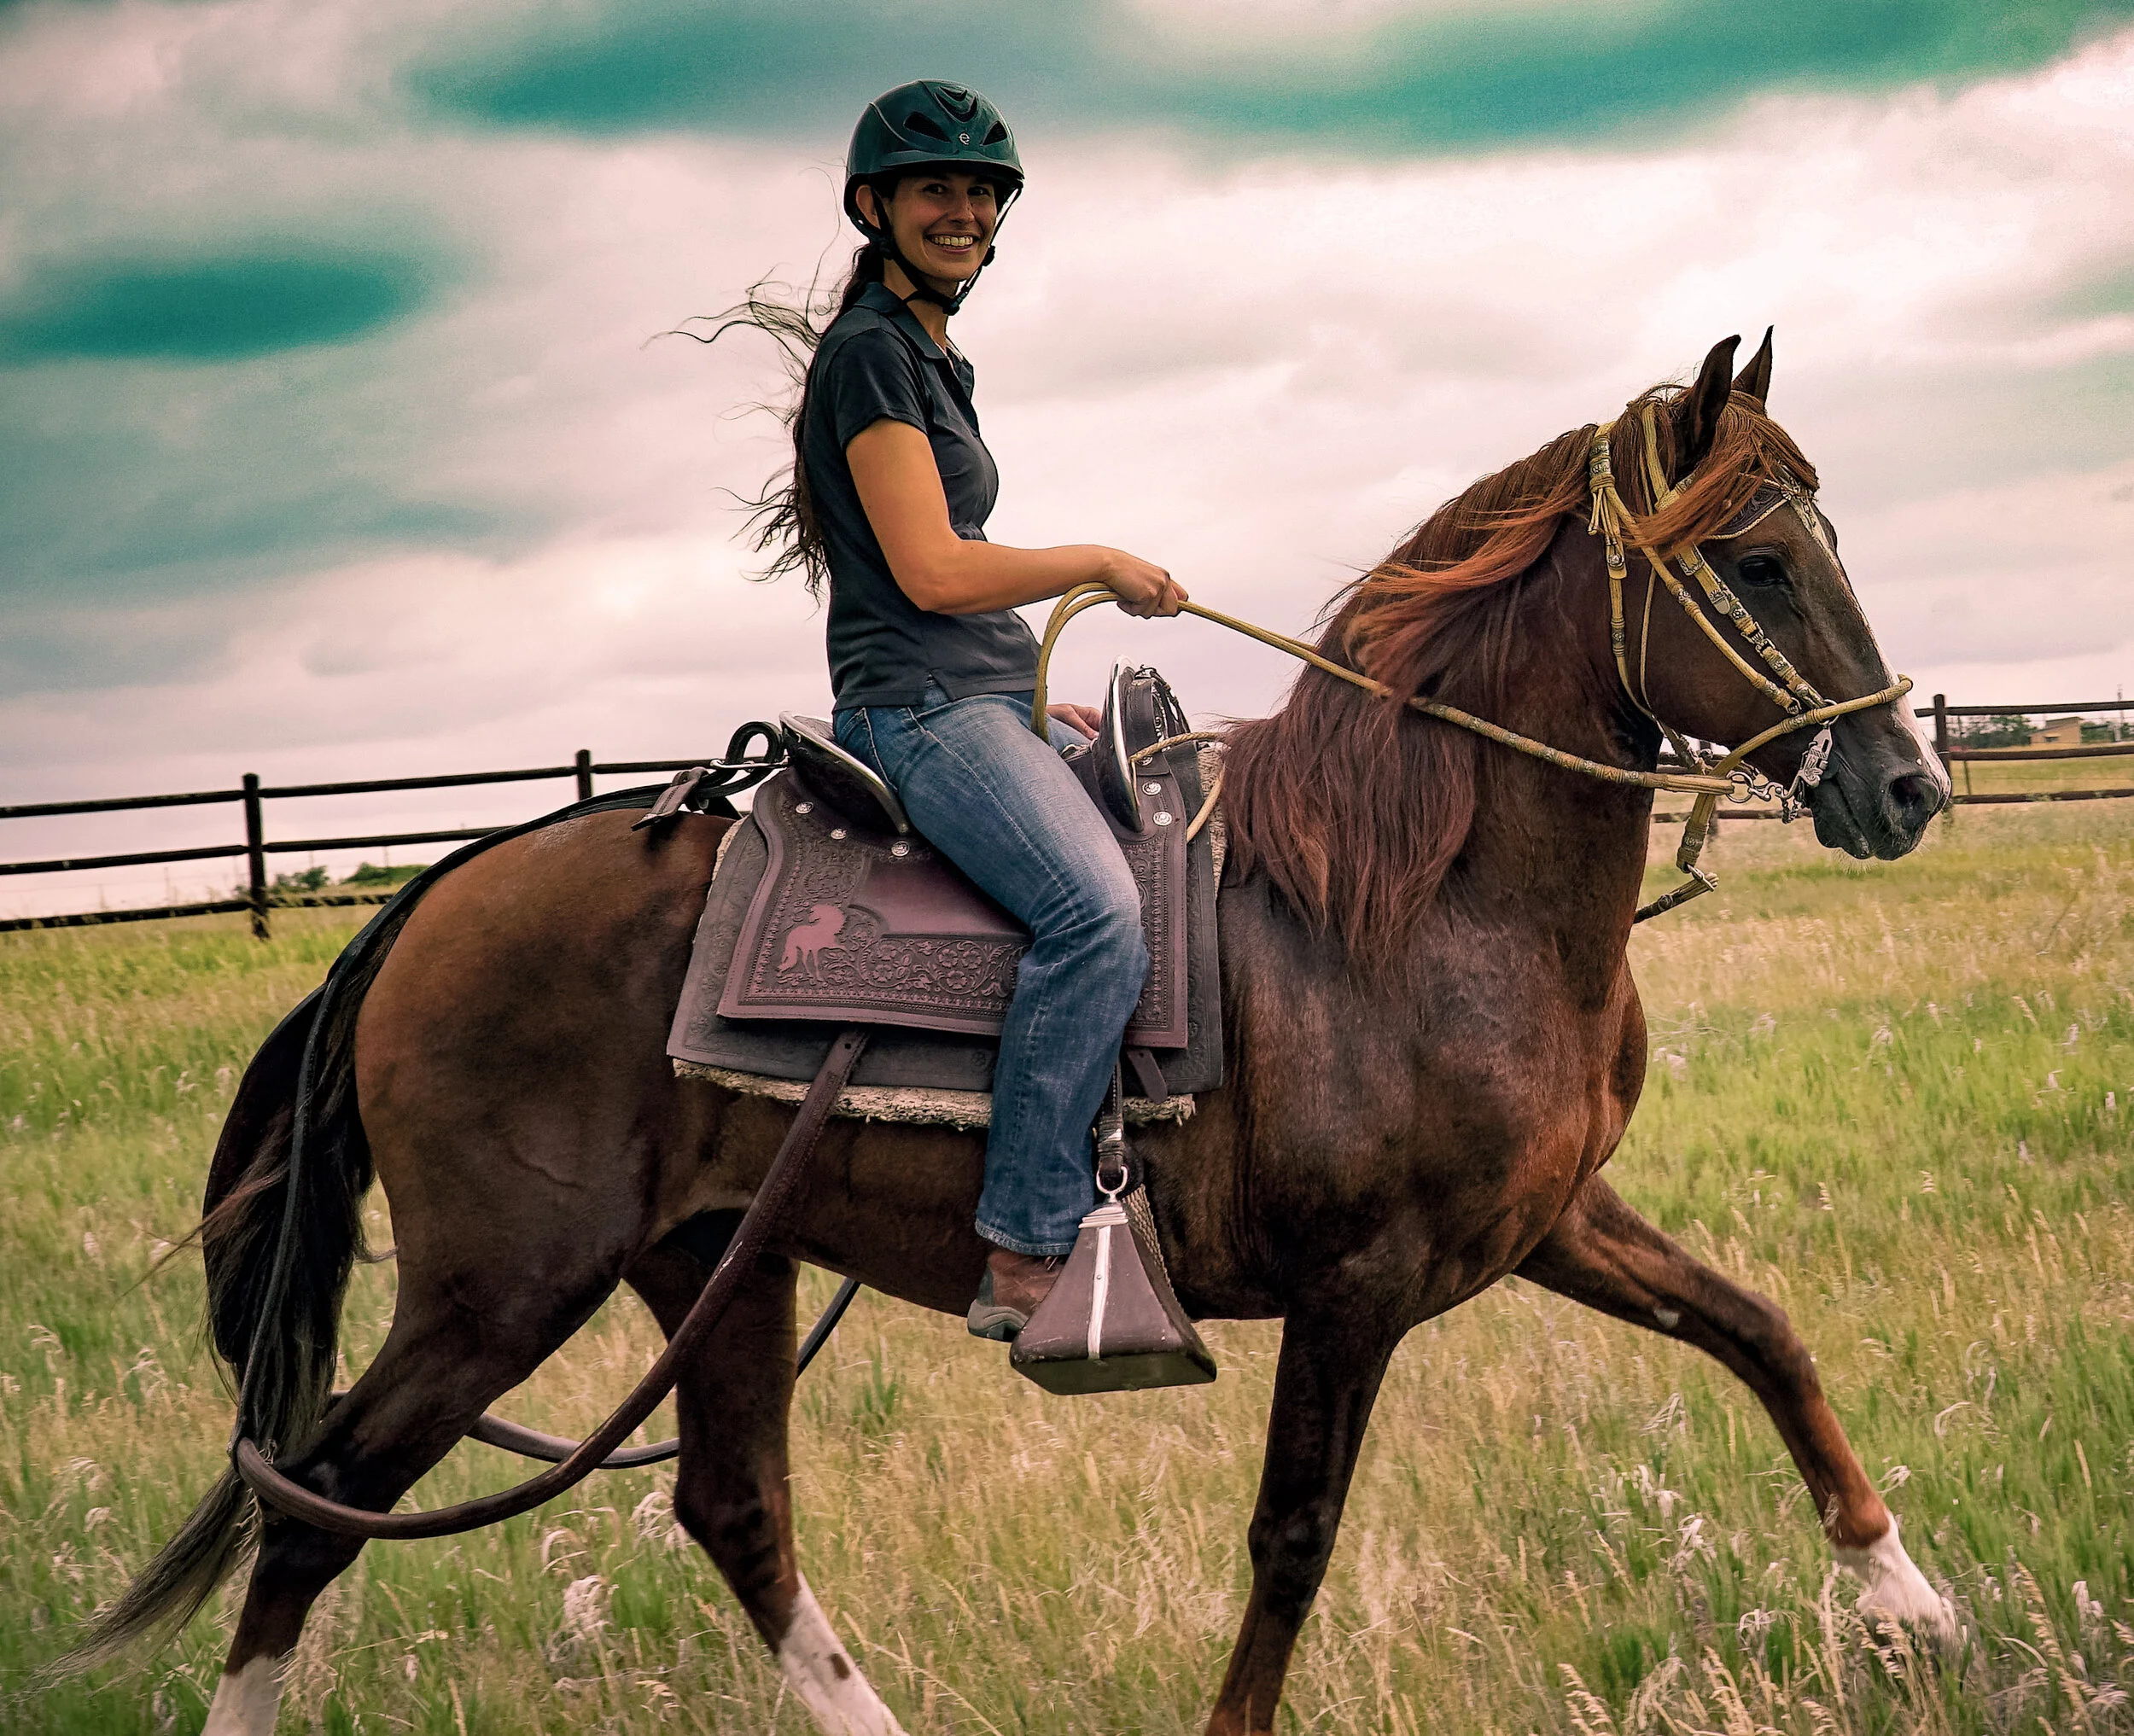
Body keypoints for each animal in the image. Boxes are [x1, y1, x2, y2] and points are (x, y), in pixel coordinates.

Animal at [89, 333, 1955, 1736]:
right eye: (1755, 559)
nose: (1905, 788)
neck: (1398, 905)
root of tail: (429, 899)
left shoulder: (1549, 1218)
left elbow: (1761, 1334)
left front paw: (1910, 1601)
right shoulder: (1355, 1285)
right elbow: (1292, 1534)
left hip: (713, 1261)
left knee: (730, 1510)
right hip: (499, 1288)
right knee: (313, 1507)